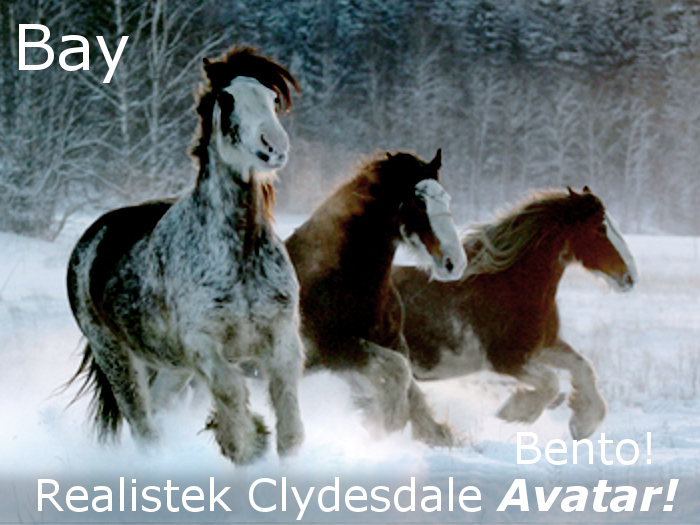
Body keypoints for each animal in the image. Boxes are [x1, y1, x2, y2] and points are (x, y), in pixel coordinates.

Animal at [66, 47, 305, 464]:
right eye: (227, 98)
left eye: (274, 99)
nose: (273, 145)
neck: (239, 255)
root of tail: (93, 236)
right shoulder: (203, 345)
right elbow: (230, 390)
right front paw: (245, 442)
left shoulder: (282, 336)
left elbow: (288, 414)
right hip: (116, 356)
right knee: (144, 427)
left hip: (172, 368)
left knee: (159, 412)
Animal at [285, 150, 468, 446]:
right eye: (419, 202)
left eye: (447, 198)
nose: (455, 263)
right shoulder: (333, 348)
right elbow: (398, 372)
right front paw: (387, 426)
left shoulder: (391, 342)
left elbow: (411, 389)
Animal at [392, 187, 638, 440]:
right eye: (600, 229)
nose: (630, 277)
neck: (513, 285)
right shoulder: (506, 358)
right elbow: (552, 381)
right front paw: (514, 411)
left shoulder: (542, 345)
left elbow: (583, 366)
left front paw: (583, 423)